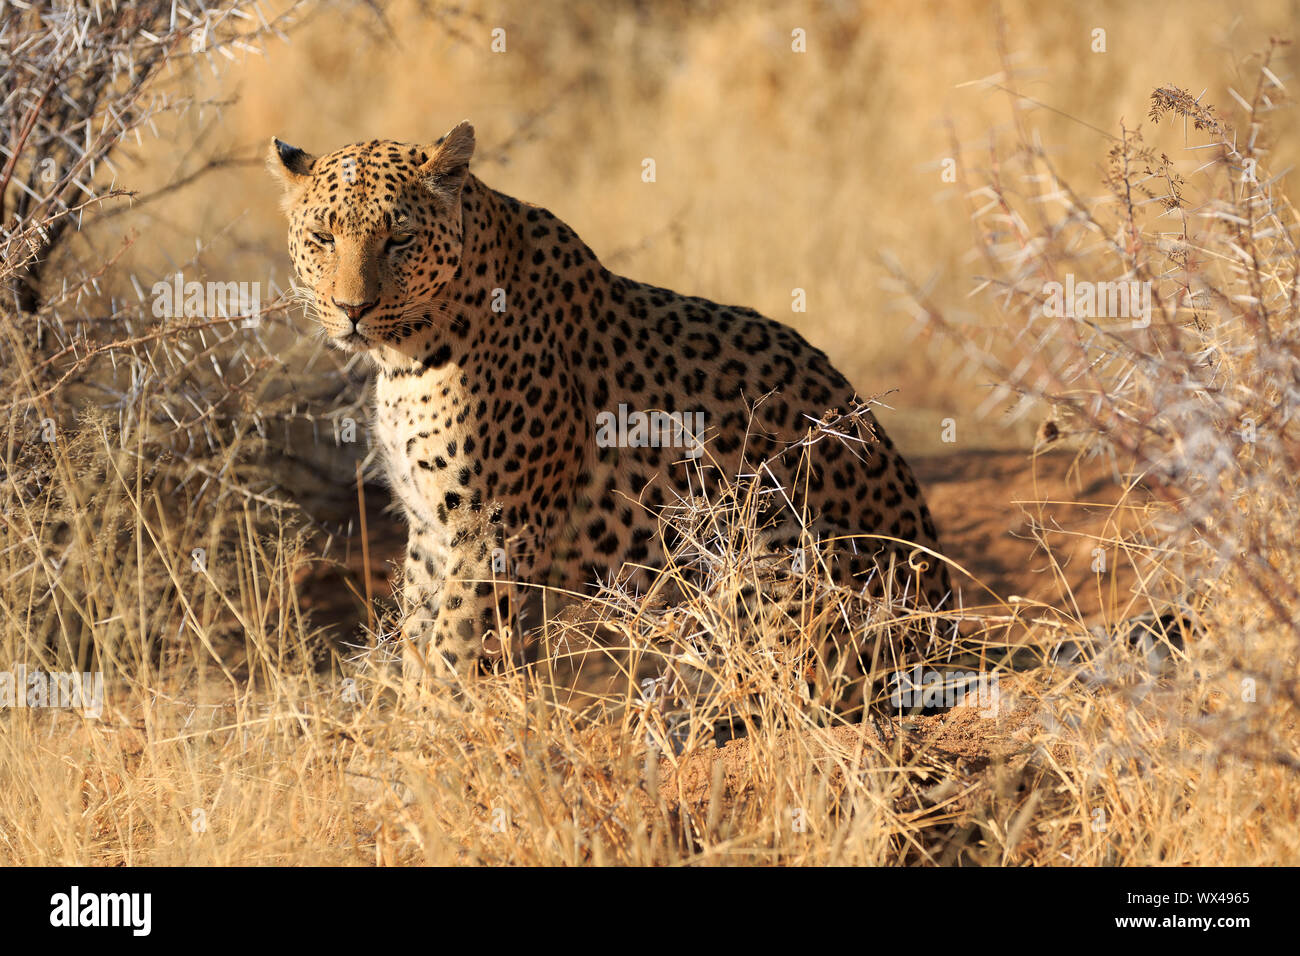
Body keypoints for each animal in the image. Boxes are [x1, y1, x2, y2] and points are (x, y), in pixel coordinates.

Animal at [268, 121, 952, 685]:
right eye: (323, 236)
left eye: (401, 238)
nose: (352, 309)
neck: (406, 359)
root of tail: (944, 628)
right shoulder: (431, 530)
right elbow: (418, 635)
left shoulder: (494, 527)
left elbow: (456, 645)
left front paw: (445, 730)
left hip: (760, 548)